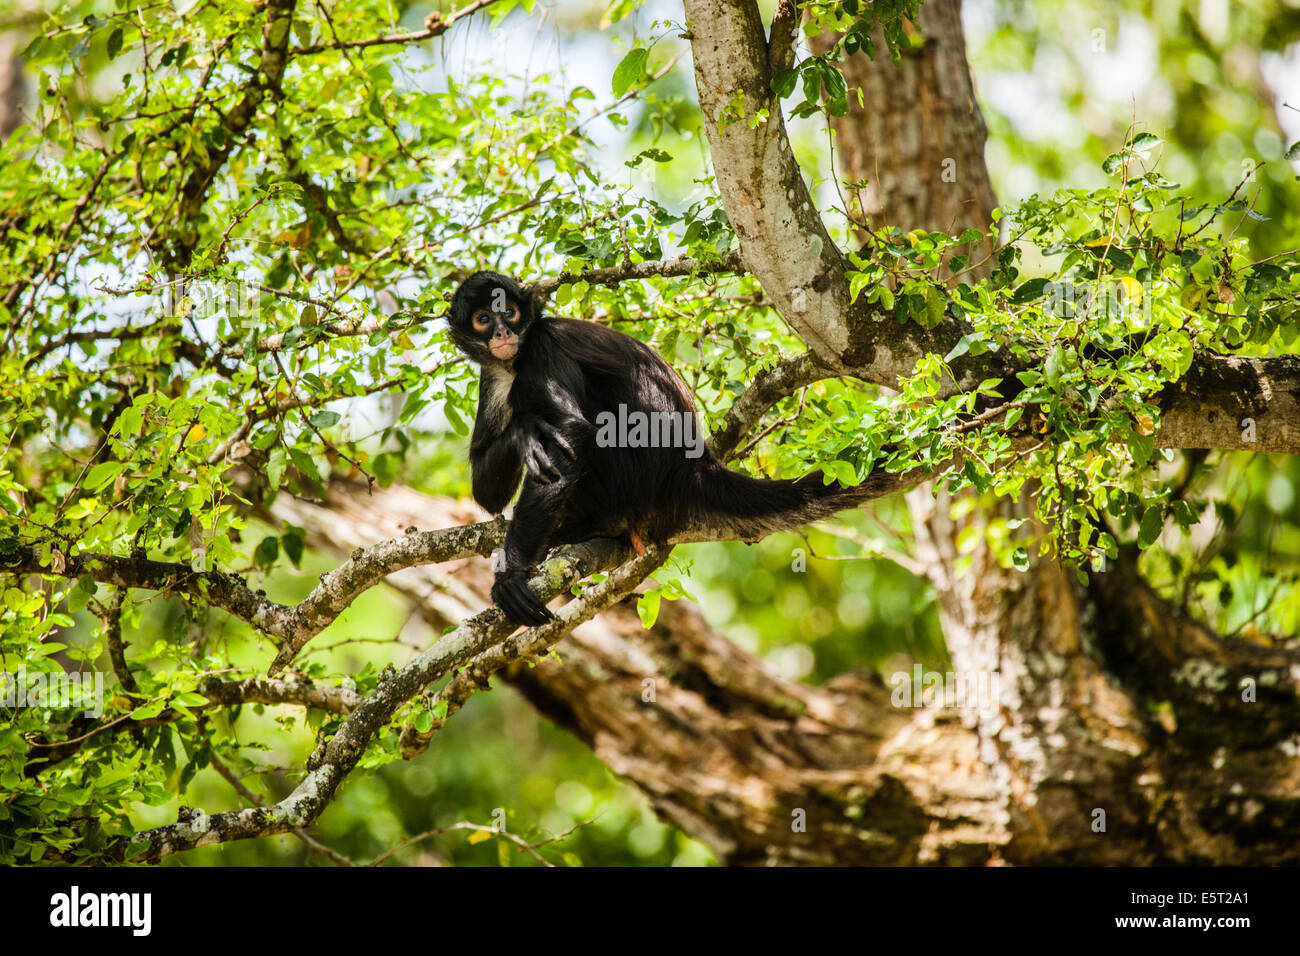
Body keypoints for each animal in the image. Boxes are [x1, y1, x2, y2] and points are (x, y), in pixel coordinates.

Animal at [447, 270, 886, 626]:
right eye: (484, 319)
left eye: (509, 314)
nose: (503, 333)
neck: (516, 358)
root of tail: (693, 463)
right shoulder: (494, 373)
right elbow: (488, 494)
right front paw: (524, 432)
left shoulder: (543, 345)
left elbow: (574, 432)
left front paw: (511, 576)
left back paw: (594, 523)